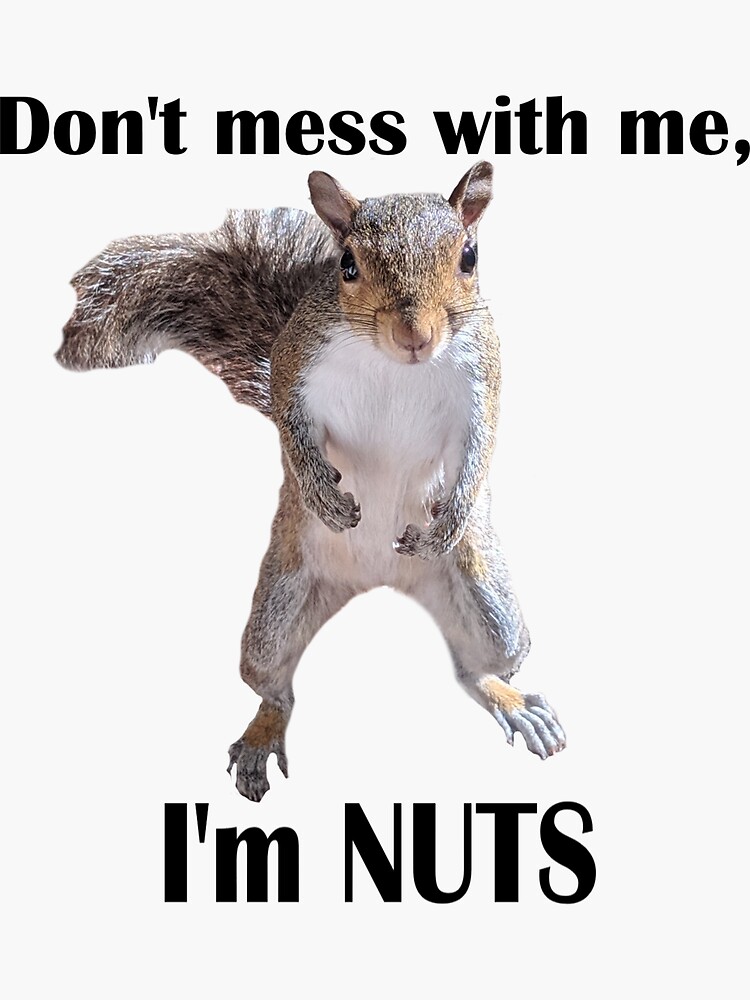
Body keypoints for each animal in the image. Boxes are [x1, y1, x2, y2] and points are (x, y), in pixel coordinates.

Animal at [56, 162, 566, 801]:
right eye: (347, 264)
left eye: (469, 257)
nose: (415, 336)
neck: (393, 364)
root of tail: (379, 580)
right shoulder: (296, 361)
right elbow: (291, 426)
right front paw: (325, 495)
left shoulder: (483, 375)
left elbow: (480, 447)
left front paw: (447, 520)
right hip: (276, 611)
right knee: (274, 687)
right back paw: (260, 737)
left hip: (494, 611)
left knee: (476, 669)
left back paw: (514, 700)